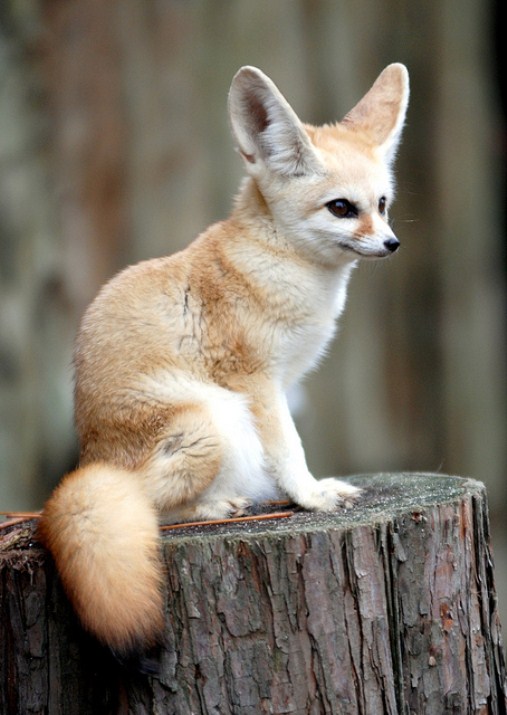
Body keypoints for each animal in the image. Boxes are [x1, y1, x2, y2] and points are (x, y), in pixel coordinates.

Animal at [39, 63, 409, 668]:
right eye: (341, 208)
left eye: (382, 203)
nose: (392, 244)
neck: (277, 265)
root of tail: (86, 465)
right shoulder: (256, 382)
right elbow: (289, 449)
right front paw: (311, 496)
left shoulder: (283, 382)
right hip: (214, 421)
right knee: (148, 509)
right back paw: (216, 505)